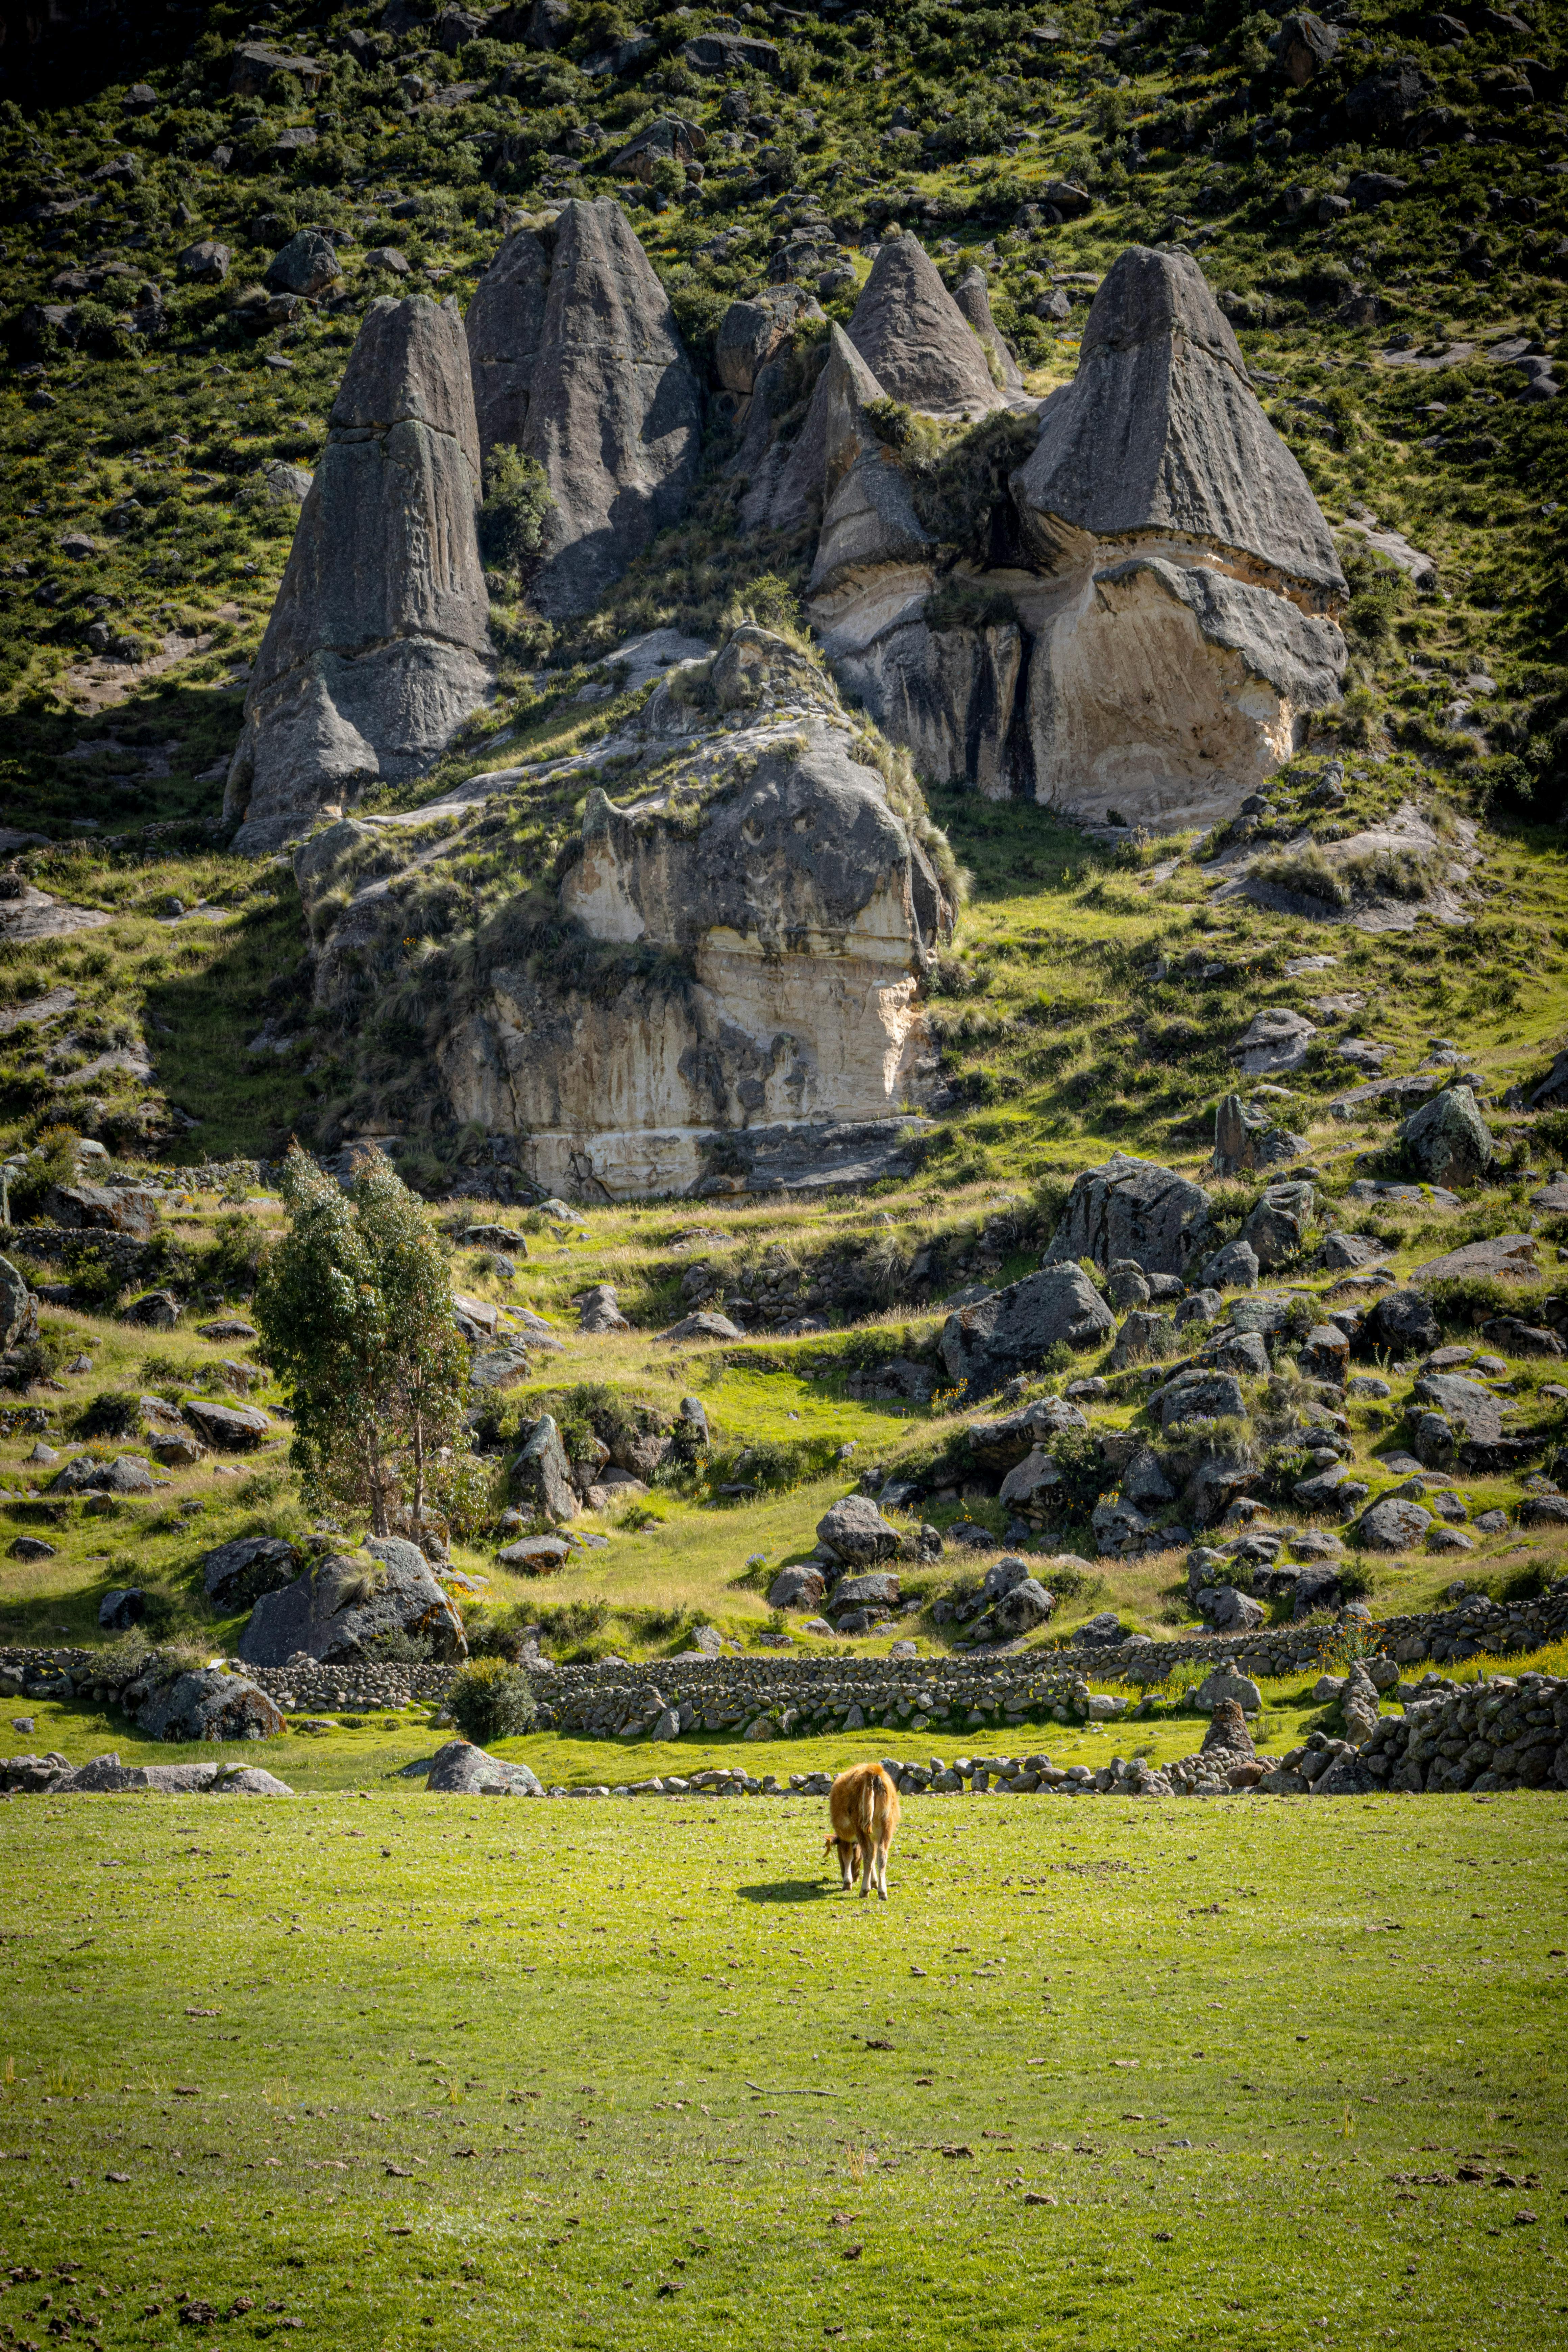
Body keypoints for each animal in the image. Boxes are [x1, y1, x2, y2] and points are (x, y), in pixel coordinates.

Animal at [824, 1761, 900, 1901]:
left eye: (837, 1852)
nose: (856, 1877)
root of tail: (873, 1771)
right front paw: (874, 1882)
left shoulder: (845, 1837)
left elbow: (848, 1856)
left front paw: (847, 1883)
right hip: (887, 1825)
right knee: (881, 1855)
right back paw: (883, 1892)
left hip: (861, 1827)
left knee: (869, 1855)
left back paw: (864, 1891)